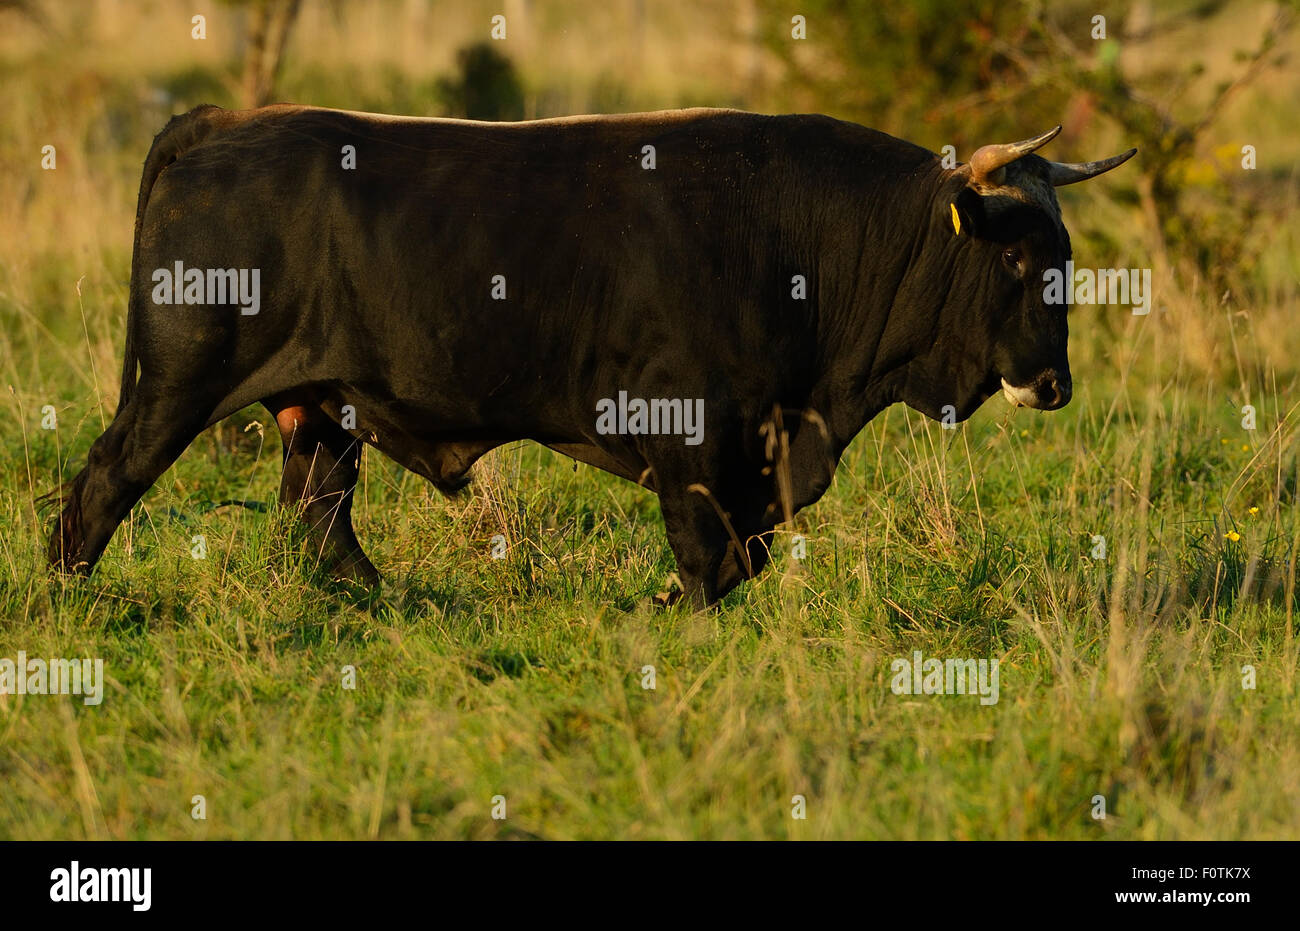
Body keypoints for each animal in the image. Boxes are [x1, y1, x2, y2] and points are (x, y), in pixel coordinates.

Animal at [45, 105, 1135, 607]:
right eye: (1013, 255)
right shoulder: (693, 434)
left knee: (319, 517)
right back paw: (66, 598)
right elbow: (709, 556)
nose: (1053, 383)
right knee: (102, 484)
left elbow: (741, 551)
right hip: (178, 384)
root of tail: (227, 124)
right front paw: (669, 609)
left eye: (1066, 258)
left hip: (320, 408)